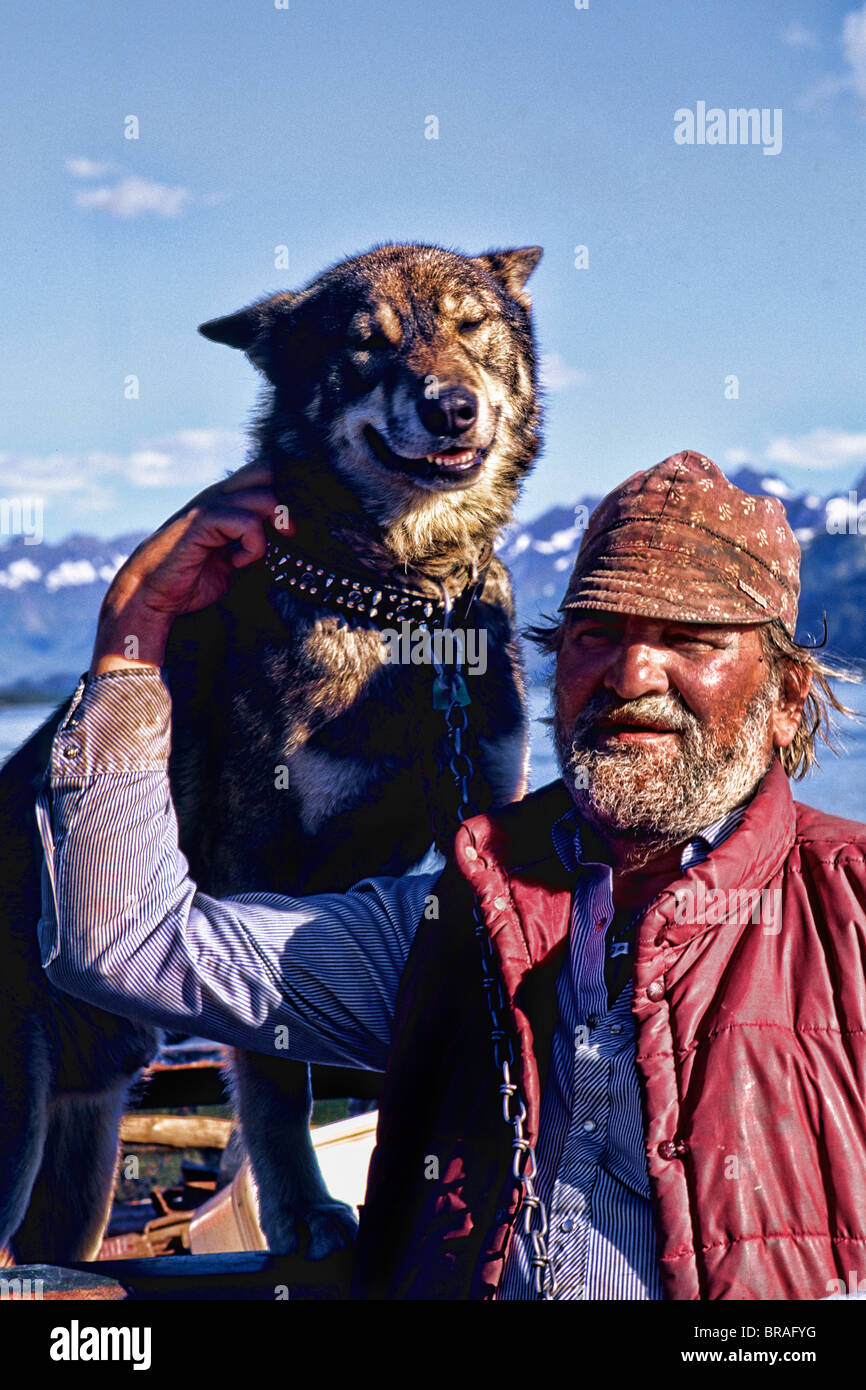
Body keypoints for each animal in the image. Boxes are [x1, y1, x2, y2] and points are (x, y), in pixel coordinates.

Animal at [0, 241, 543, 1264]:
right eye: (368, 346)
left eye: (471, 326)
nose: (453, 406)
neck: (402, 611)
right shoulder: (261, 867)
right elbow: (277, 1079)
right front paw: (302, 1212)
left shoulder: (487, 806)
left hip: (80, 1161)